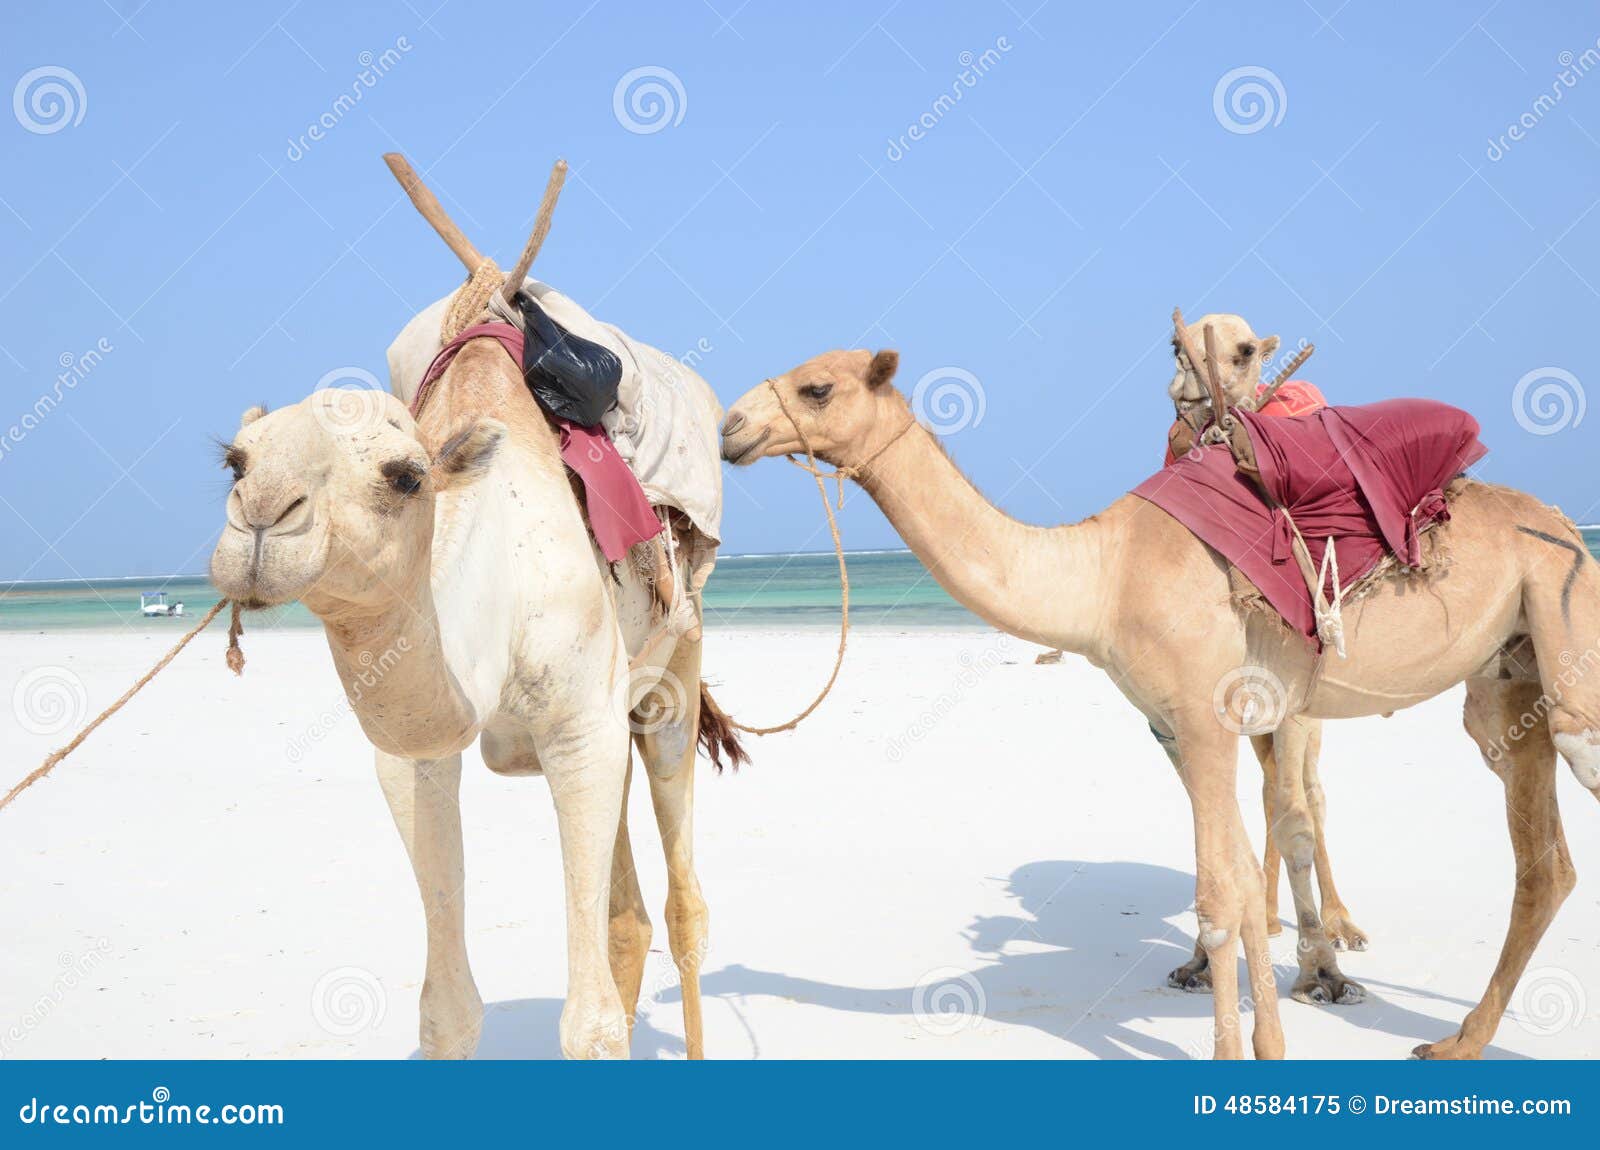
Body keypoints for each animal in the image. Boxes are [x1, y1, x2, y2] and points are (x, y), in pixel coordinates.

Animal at [210, 166, 742, 1060]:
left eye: (405, 475)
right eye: (235, 462)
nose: (260, 519)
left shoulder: (578, 725)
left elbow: (591, 1022)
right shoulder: (420, 757)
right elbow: (448, 1007)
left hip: (676, 660)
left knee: (686, 903)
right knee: (628, 917)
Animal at [720, 347, 1600, 1058]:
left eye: (818, 387)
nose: (731, 427)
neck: (1102, 577)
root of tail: (1564, 524)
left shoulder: (1208, 716)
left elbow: (1218, 898)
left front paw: (1231, 1053)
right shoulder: (1178, 729)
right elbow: (1237, 881)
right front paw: (1269, 1044)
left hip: (1567, 631)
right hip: (1508, 678)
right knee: (1542, 862)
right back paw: (1457, 1041)